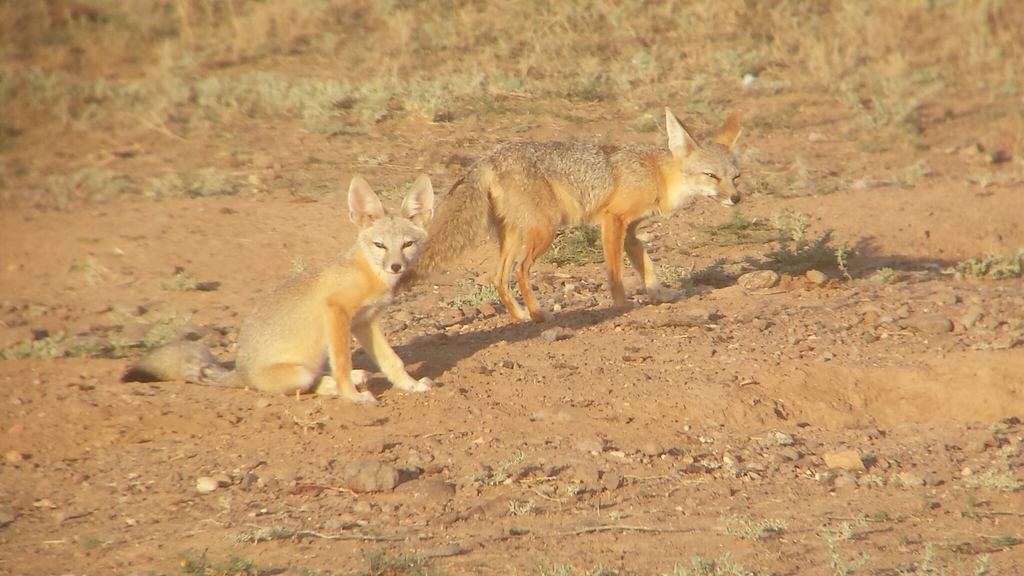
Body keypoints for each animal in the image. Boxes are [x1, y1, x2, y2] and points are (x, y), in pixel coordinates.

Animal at [122, 175, 436, 403]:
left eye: (407, 244)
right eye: (380, 245)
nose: (395, 266)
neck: (368, 273)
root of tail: (240, 372)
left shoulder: (364, 321)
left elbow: (392, 361)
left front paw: (409, 385)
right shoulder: (336, 310)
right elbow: (342, 363)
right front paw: (353, 397)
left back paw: (356, 376)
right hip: (299, 372)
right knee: (309, 384)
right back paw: (339, 386)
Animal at [402, 108, 743, 322]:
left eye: (735, 177)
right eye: (711, 176)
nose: (736, 198)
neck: (657, 174)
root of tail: (490, 156)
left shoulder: (631, 230)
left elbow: (648, 267)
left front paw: (660, 294)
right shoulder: (614, 220)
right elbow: (616, 273)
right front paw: (622, 303)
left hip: (514, 235)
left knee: (500, 278)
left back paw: (521, 317)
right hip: (544, 231)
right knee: (521, 271)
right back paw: (539, 314)